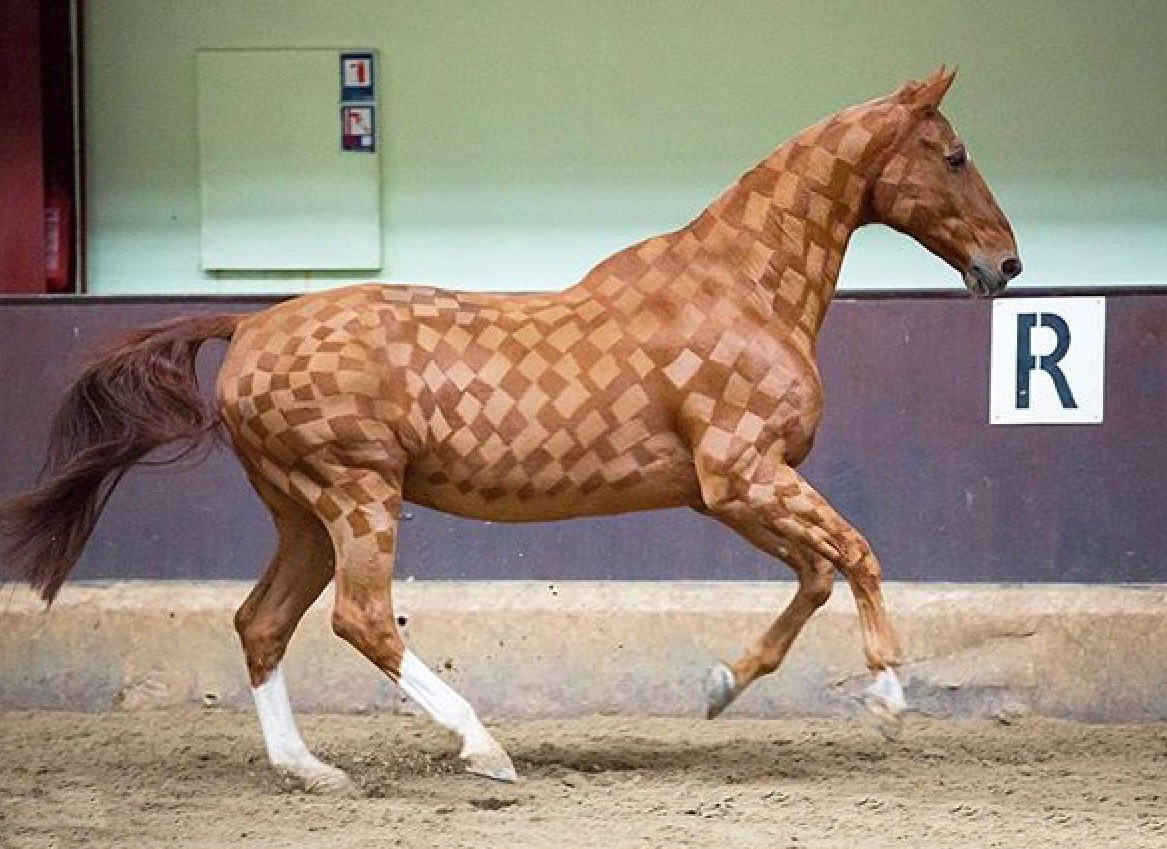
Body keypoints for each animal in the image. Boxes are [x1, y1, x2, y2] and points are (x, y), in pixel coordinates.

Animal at [0, 67, 1019, 793]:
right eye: (954, 155)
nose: (1004, 265)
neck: (742, 287)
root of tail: (248, 326)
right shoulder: (743, 473)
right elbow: (856, 552)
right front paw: (888, 694)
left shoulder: (726, 492)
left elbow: (814, 572)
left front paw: (721, 684)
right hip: (356, 494)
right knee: (359, 619)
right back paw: (482, 745)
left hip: (302, 514)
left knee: (262, 623)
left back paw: (313, 769)